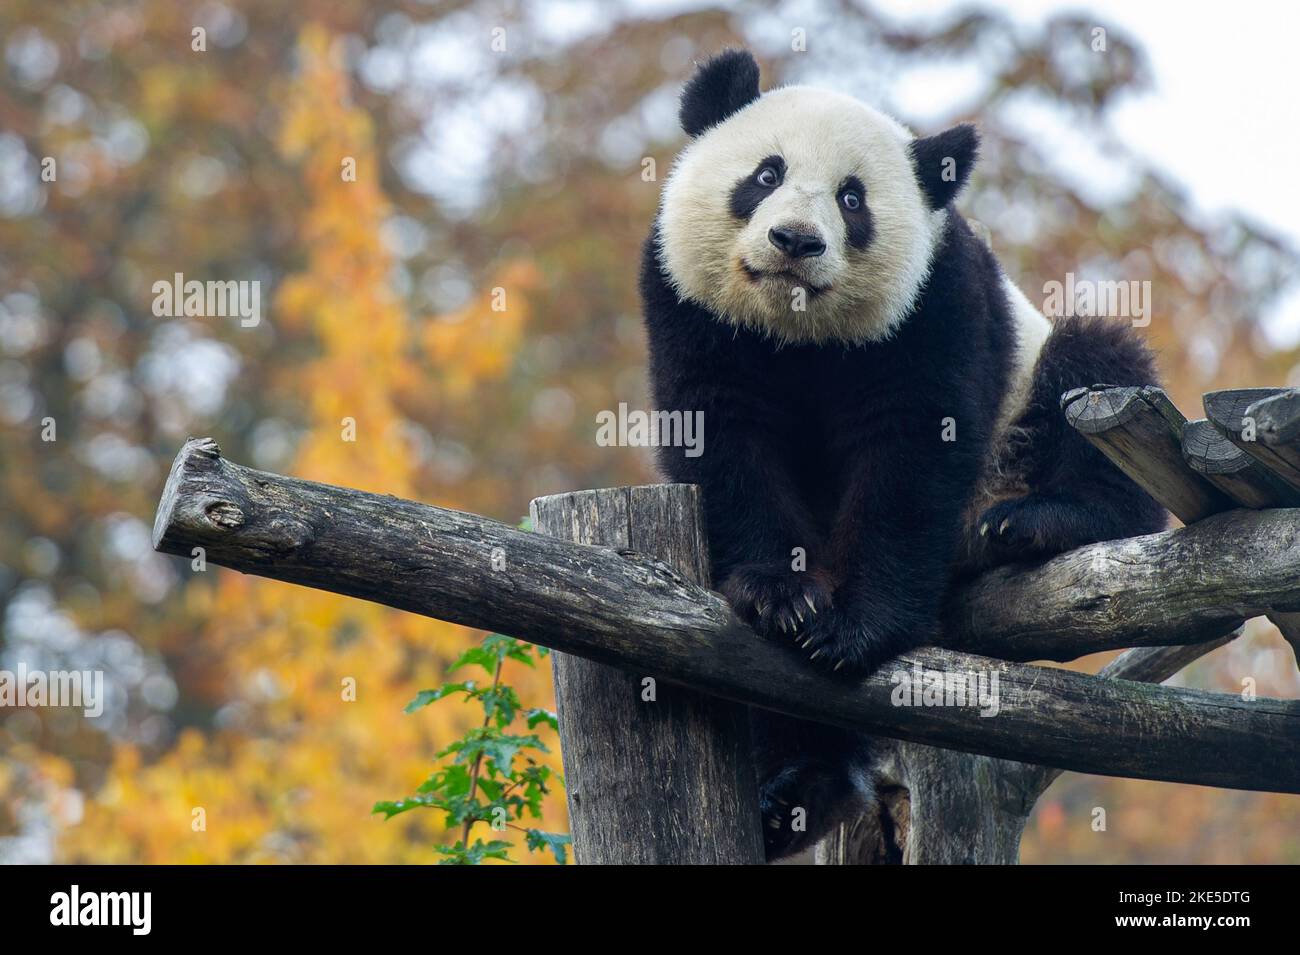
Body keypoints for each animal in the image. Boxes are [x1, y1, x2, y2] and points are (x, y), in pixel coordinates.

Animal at [641, 49, 1167, 860]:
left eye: (852, 198)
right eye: (766, 173)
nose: (796, 240)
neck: (798, 331)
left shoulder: (934, 306)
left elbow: (911, 456)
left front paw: (852, 630)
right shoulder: (691, 310)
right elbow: (725, 444)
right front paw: (783, 595)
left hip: (1031, 406)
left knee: (1093, 367)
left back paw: (1042, 519)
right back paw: (795, 793)